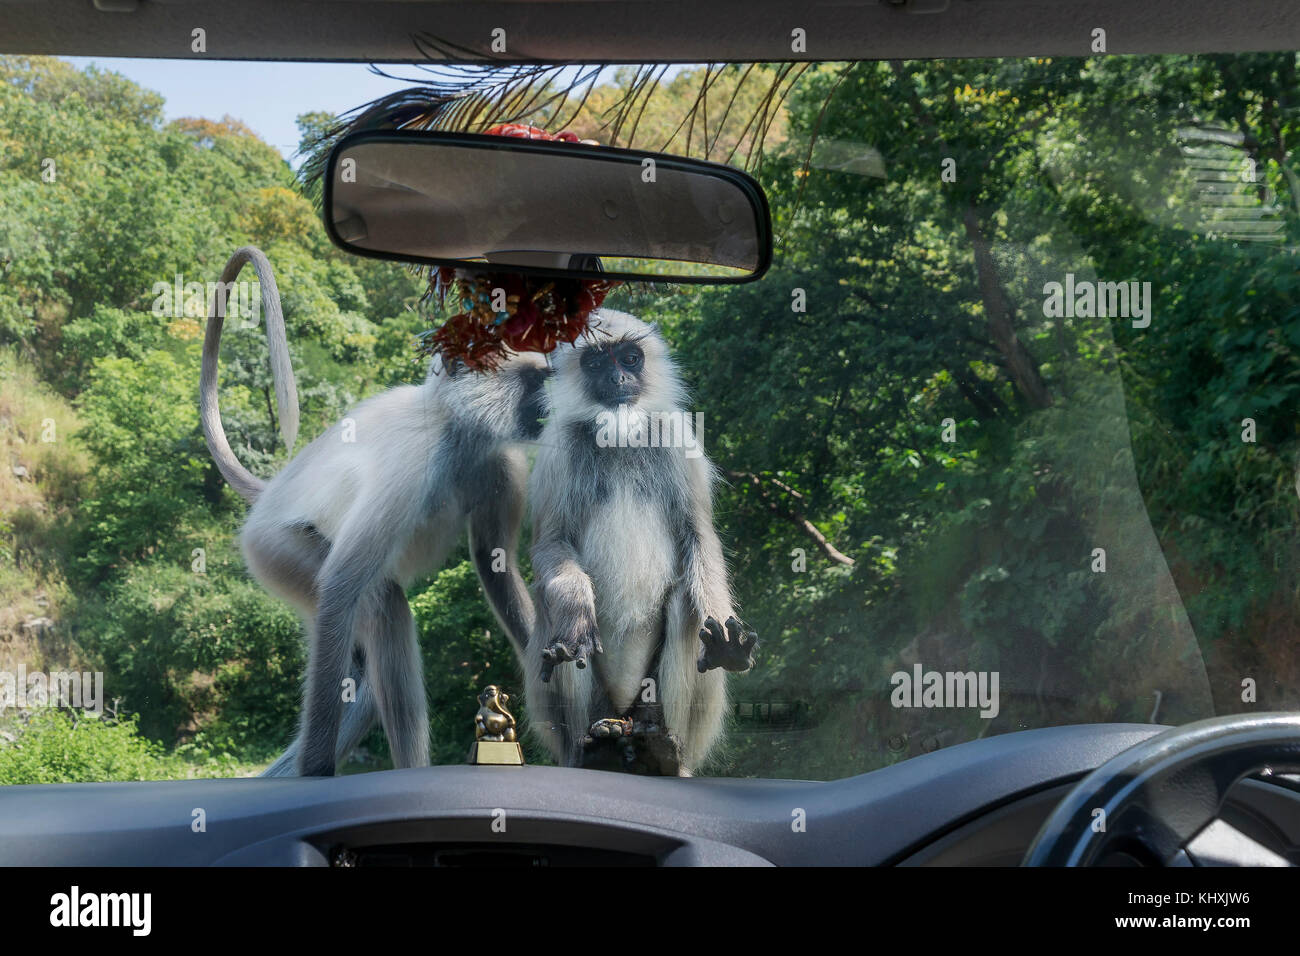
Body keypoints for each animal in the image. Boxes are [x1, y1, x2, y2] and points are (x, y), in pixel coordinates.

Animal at [200, 247, 548, 777]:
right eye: (534, 381)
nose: (550, 406)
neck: (452, 425)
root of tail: (273, 492)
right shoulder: (413, 461)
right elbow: (342, 583)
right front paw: (317, 773)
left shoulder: (500, 462)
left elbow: (497, 566)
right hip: (279, 552)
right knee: (381, 604)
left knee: (363, 685)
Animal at [524, 309, 757, 775]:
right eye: (597, 362)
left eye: (630, 358)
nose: (618, 379)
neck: (619, 438)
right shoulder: (559, 449)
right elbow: (550, 544)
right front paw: (577, 612)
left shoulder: (677, 437)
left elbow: (699, 537)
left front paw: (727, 634)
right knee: (550, 606)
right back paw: (592, 749)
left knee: (687, 602)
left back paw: (663, 753)